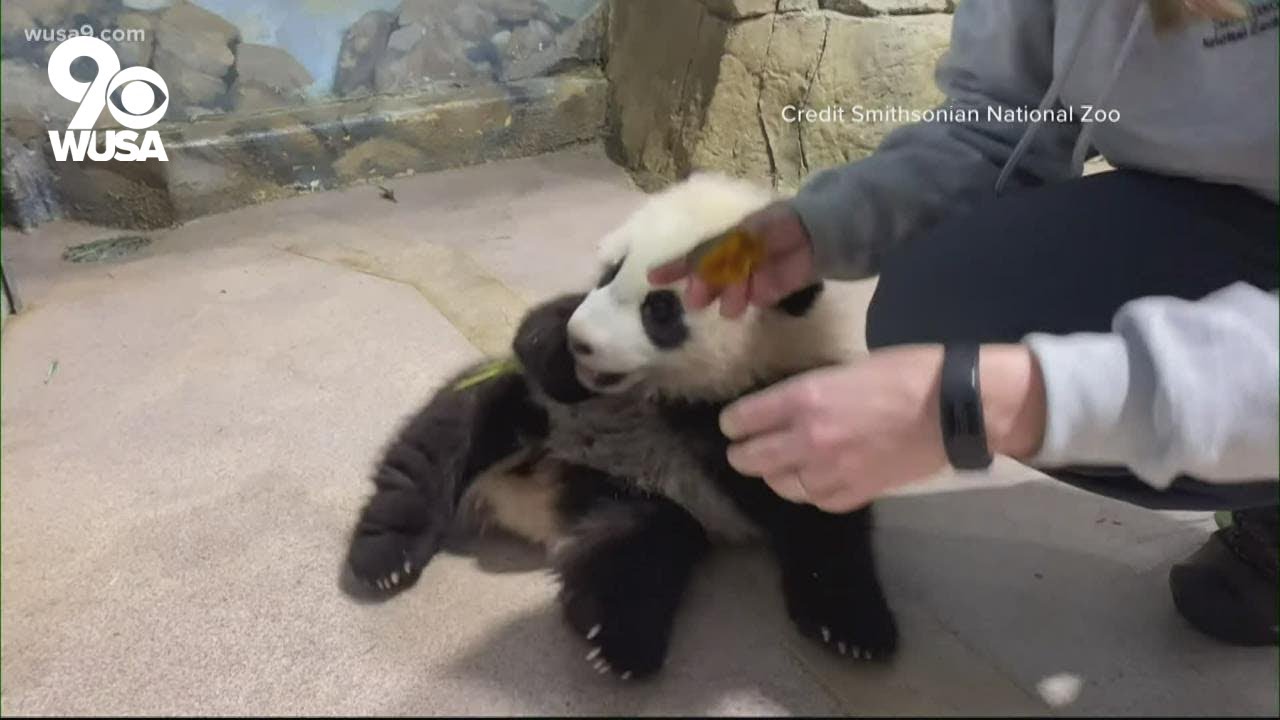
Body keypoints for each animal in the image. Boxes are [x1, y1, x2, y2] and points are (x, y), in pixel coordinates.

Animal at [345, 172, 898, 680]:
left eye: (661, 309)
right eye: (611, 272)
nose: (582, 341)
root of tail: (525, 505)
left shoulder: (785, 393)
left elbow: (819, 510)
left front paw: (854, 630)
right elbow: (534, 333)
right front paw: (559, 350)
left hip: (638, 497)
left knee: (635, 547)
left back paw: (616, 636)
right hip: (512, 408)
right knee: (438, 446)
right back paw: (384, 555)